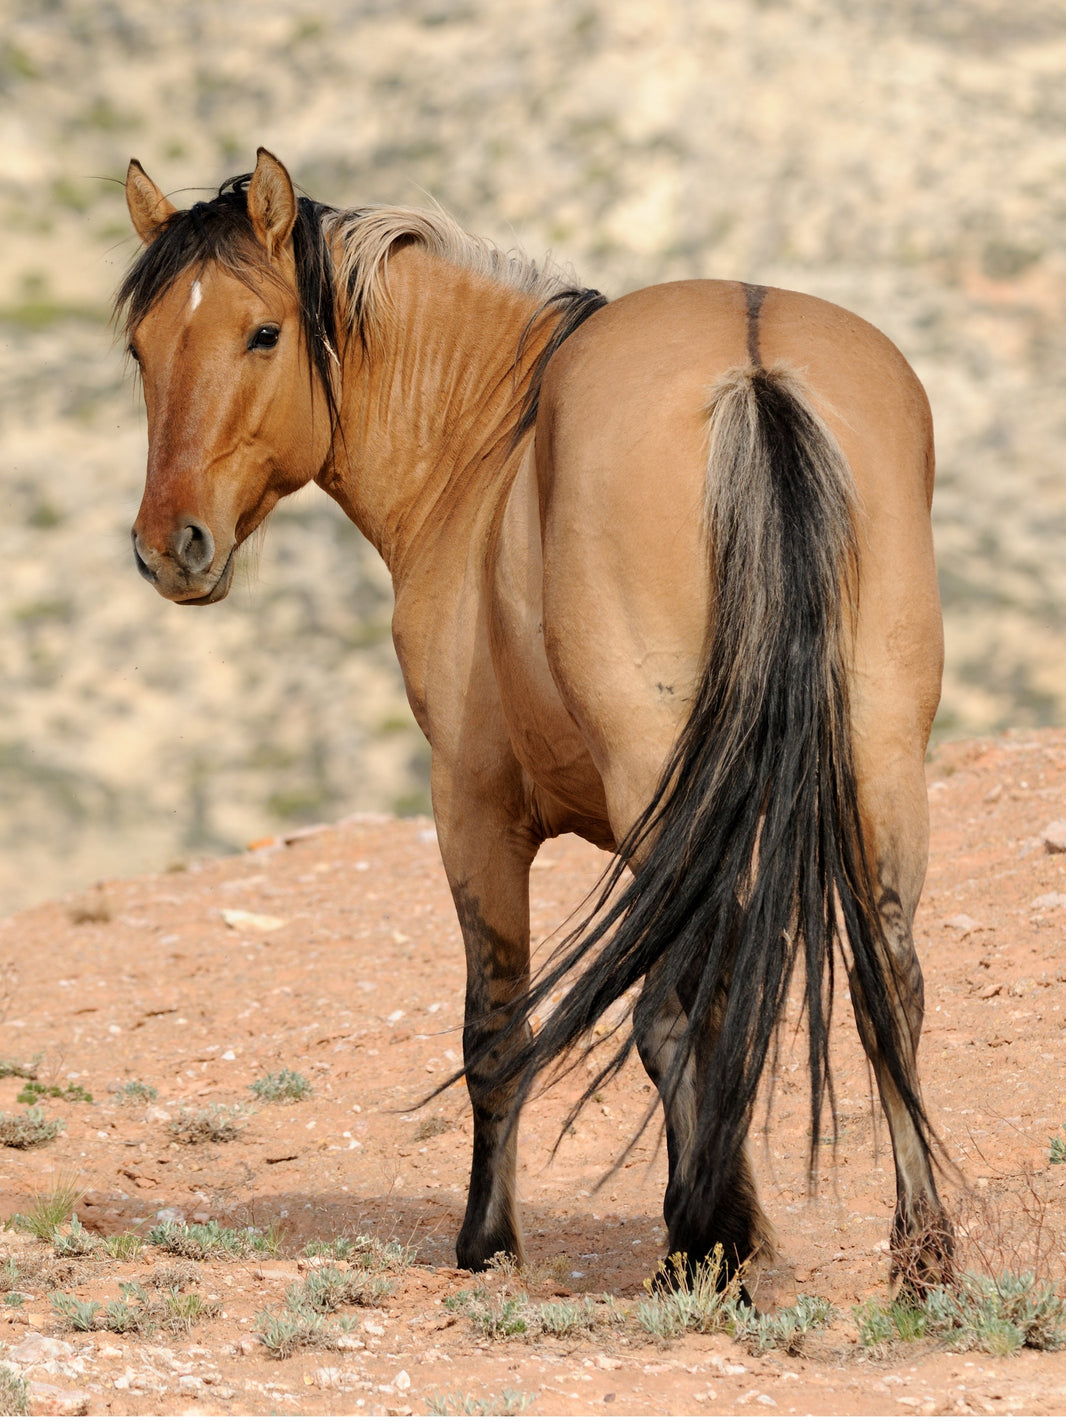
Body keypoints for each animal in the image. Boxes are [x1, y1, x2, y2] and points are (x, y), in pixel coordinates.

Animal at [118, 147, 952, 1289]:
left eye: (262, 333)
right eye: (141, 346)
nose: (172, 546)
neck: (484, 447)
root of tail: (755, 371)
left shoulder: (473, 807)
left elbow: (496, 1027)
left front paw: (491, 1238)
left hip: (666, 787)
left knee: (687, 995)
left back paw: (705, 1239)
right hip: (879, 760)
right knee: (885, 984)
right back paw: (916, 1253)